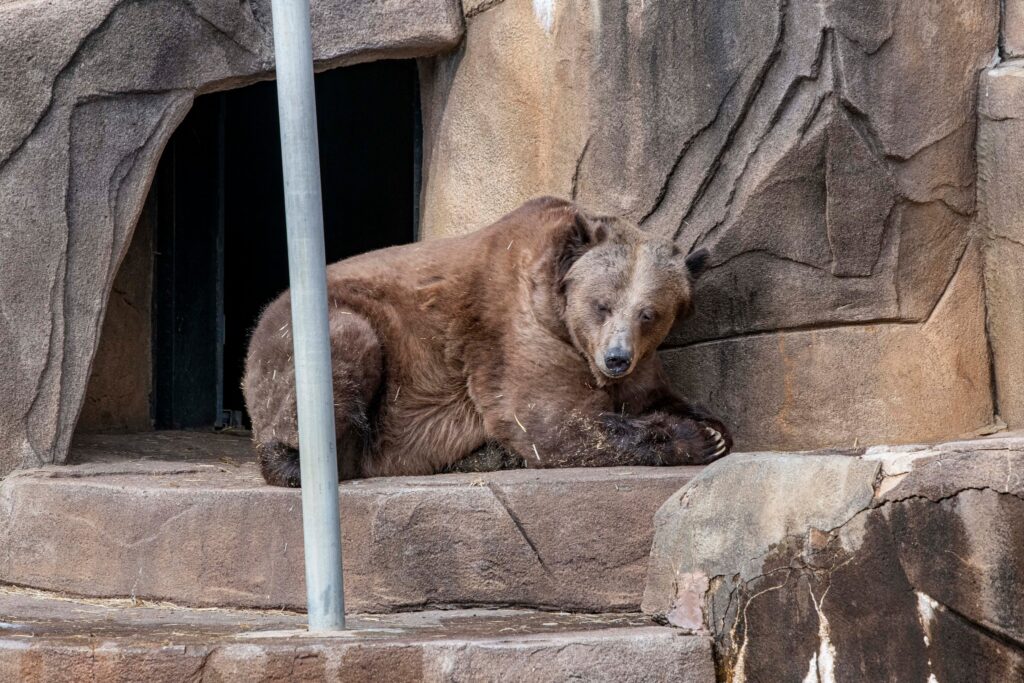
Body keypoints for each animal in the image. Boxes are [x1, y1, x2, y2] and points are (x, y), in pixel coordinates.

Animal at [243, 196, 732, 487]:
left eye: (649, 313)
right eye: (602, 304)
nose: (616, 358)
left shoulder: (640, 362)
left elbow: (656, 395)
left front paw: (710, 426)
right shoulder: (514, 333)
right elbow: (552, 424)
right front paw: (697, 439)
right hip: (311, 336)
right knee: (341, 354)